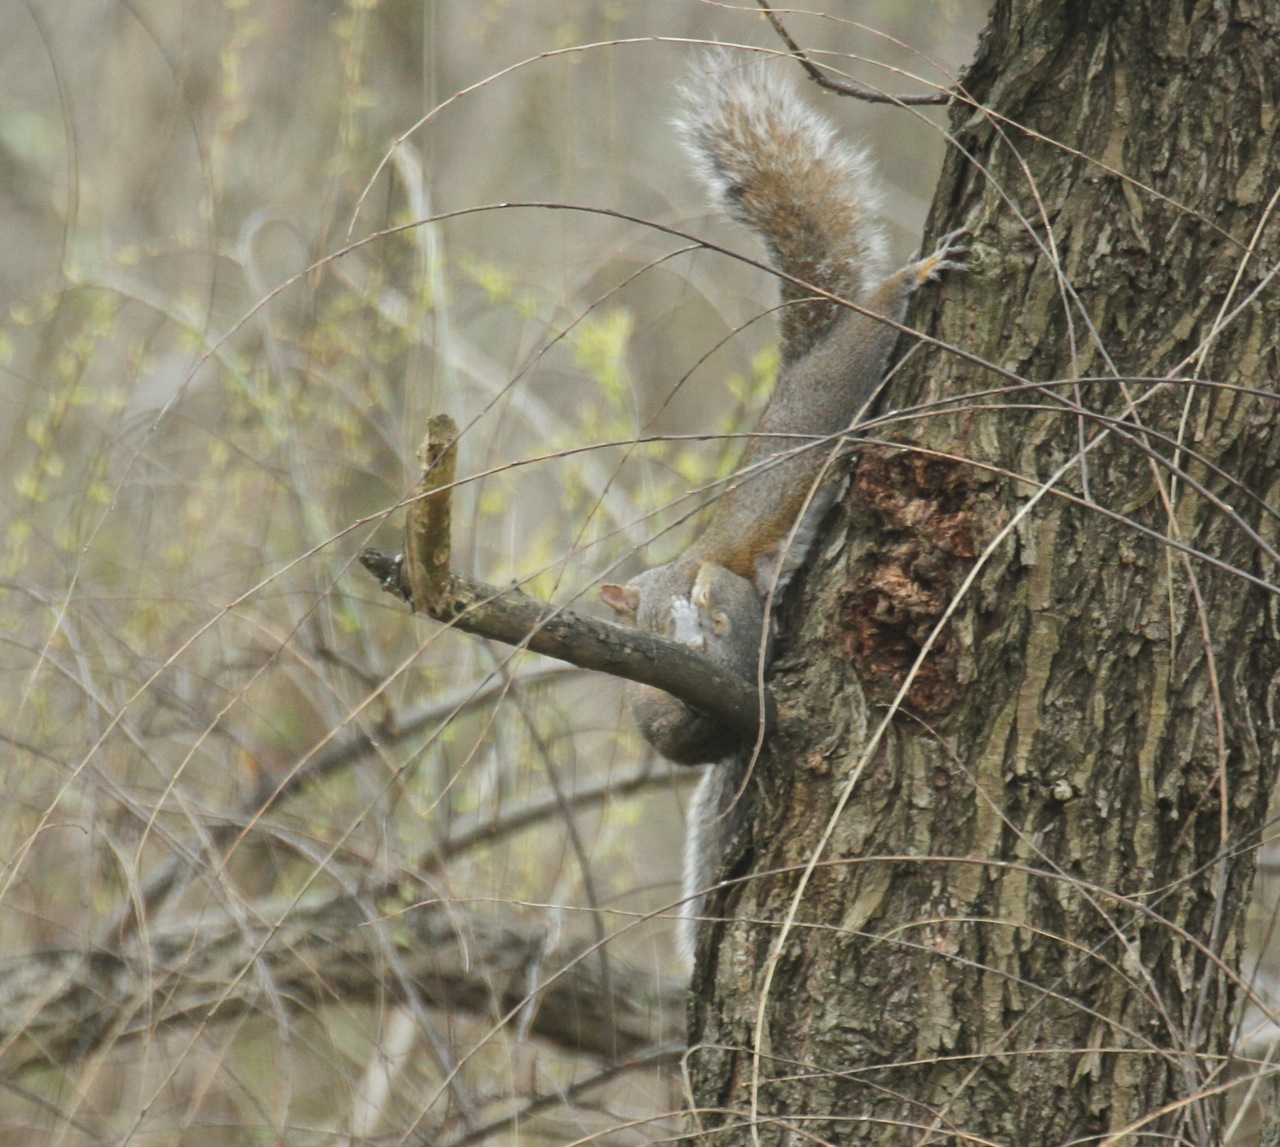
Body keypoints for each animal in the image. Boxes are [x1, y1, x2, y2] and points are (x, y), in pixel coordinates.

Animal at [601, 55, 964, 968]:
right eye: (638, 626)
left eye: (670, 606)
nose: (692, 631)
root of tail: (808, 354)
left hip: (847, 368)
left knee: (877, 317)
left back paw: (914, 277)